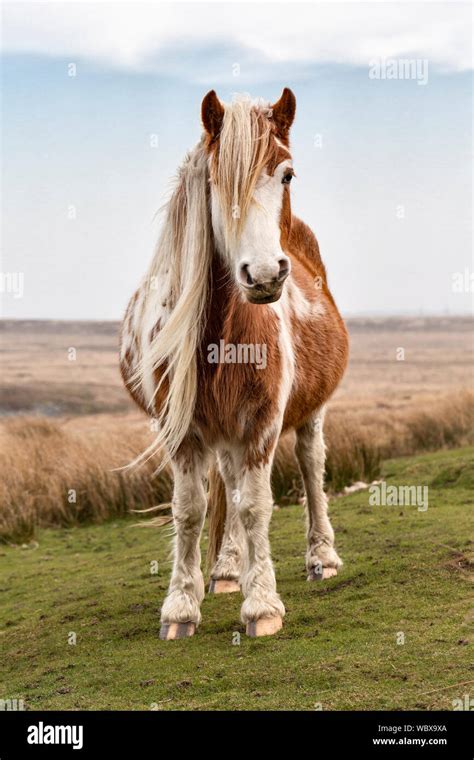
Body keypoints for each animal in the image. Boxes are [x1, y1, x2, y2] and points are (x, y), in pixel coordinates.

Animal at [120, 88, 349, 639]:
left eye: (287, 175)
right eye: (215, 181)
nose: (265, 274)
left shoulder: (262, 426)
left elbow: (256, 506)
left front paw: (262, 605)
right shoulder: (181, 431)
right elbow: (190, 509)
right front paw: (181, 608)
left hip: (308, 413)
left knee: (310, 465)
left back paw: (322, 557)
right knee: (225, 482)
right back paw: (226, 569)